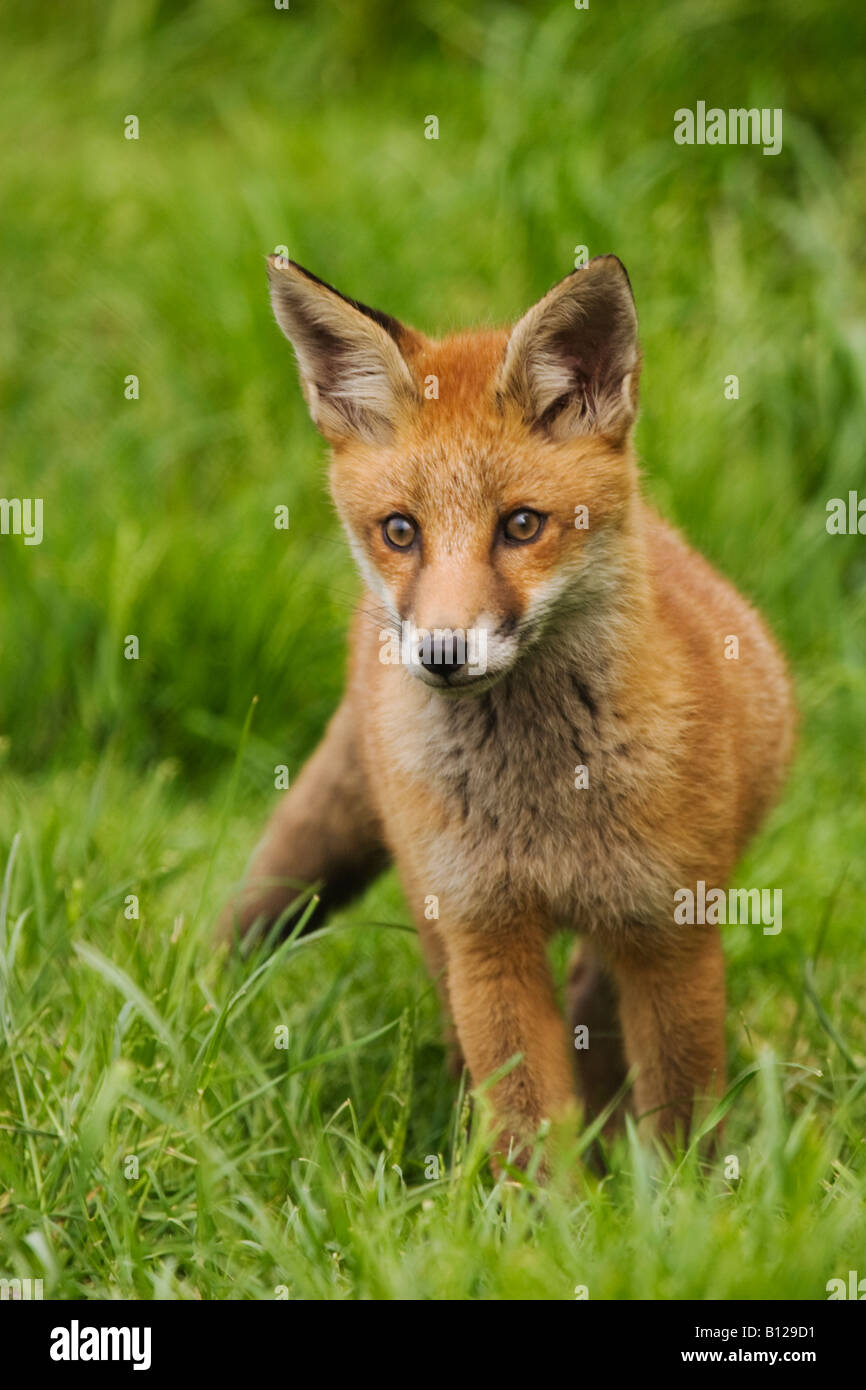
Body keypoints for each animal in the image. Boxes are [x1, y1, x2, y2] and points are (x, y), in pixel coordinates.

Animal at [219, 253, 795, 1164]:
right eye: (401, 531)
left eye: (522, 526)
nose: (442, 653)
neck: (544, 805)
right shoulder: (485, 934)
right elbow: (525, 1118)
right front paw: (541, 1204)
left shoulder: (673, 933)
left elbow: (682, 1114)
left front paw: (678, 1197)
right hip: (391, 879)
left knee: (592, 1003)